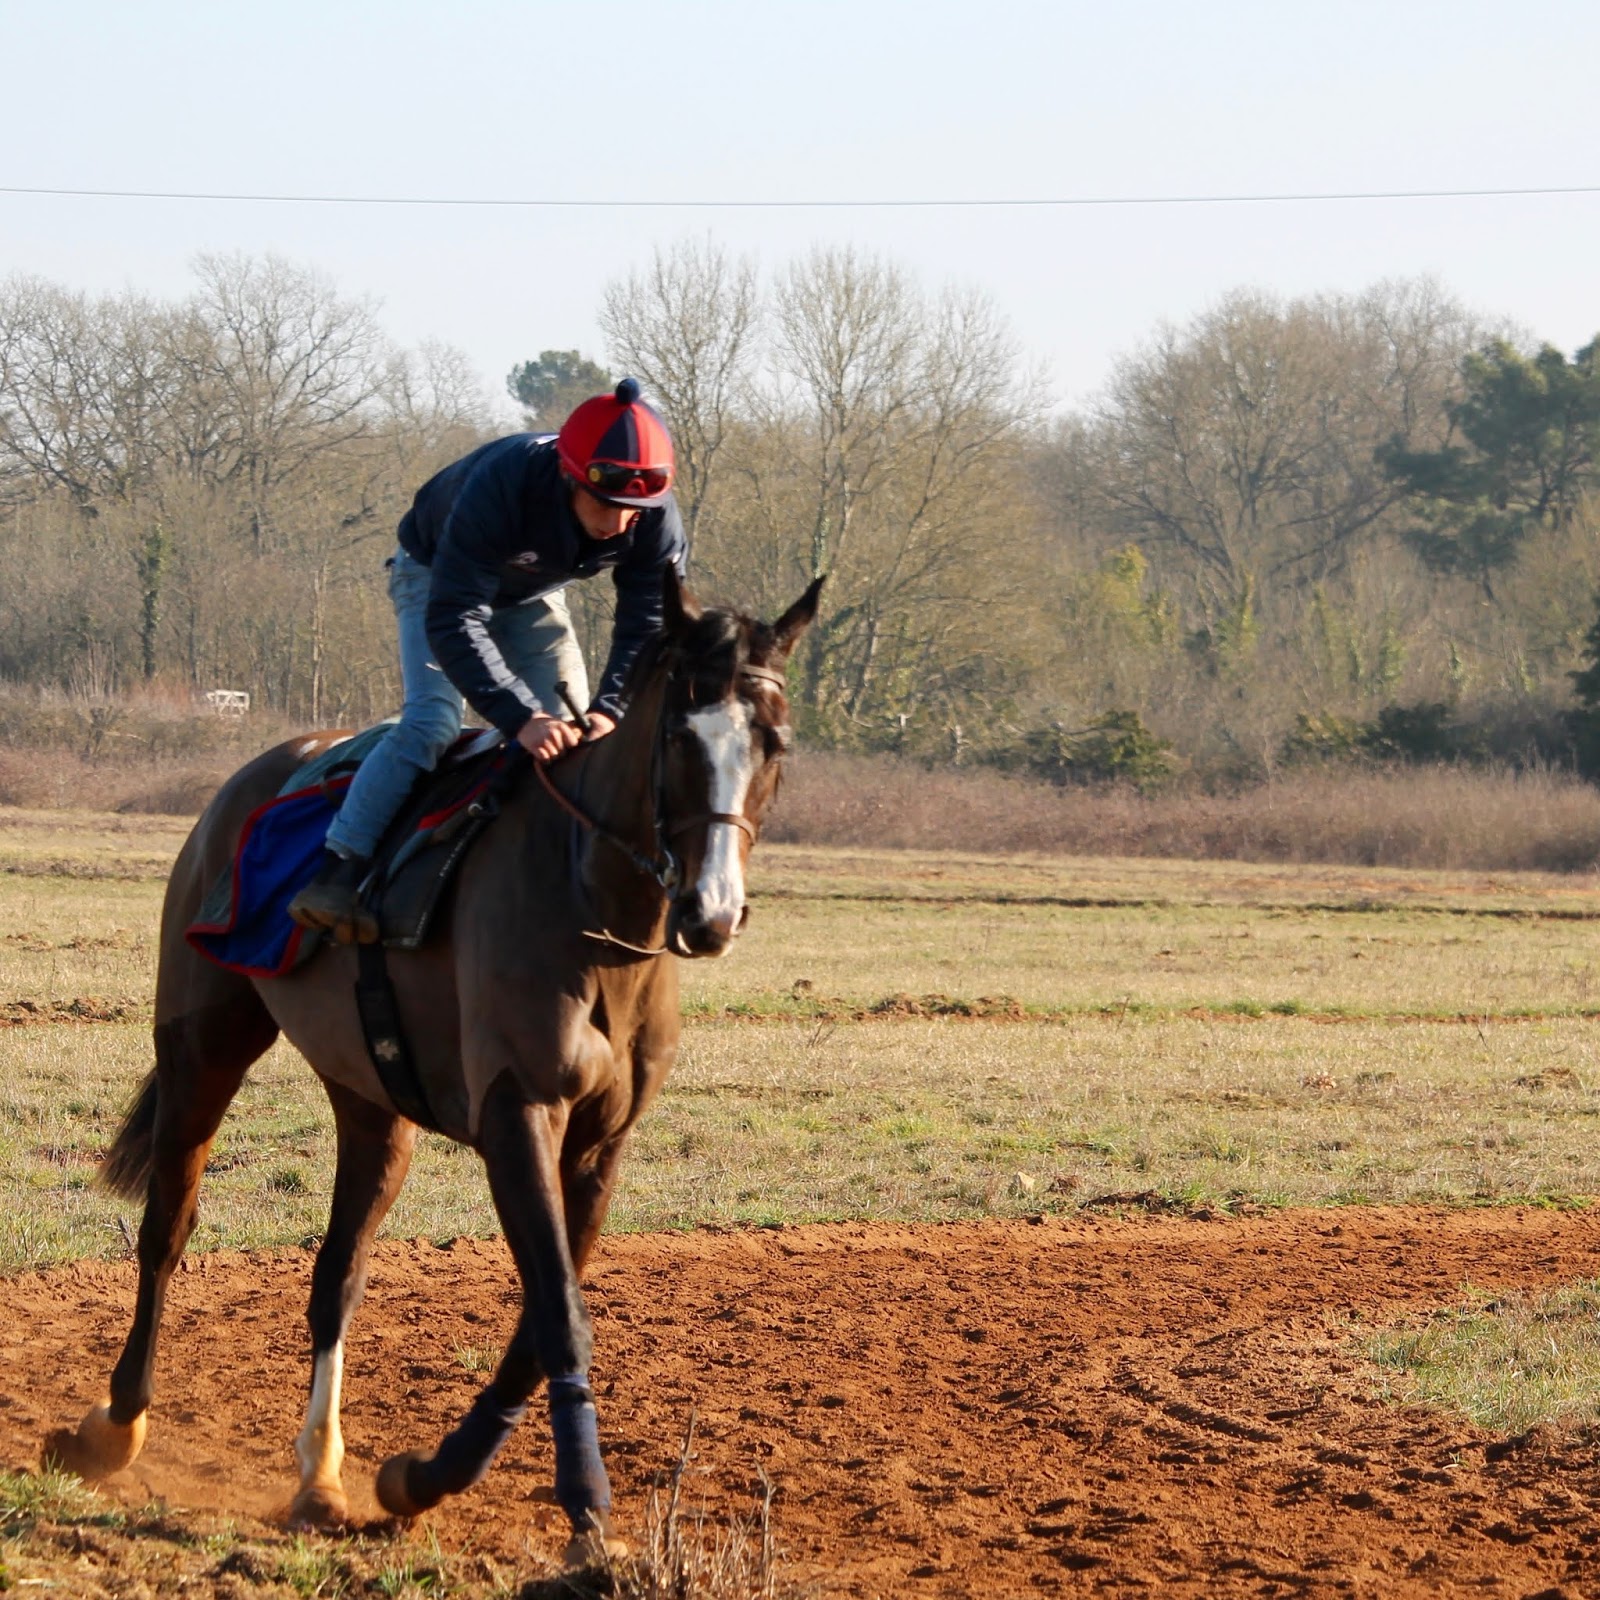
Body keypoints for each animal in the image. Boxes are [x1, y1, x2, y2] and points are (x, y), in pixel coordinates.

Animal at [43, 572, 822, 1565]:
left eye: (773, 743)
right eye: (683, 736)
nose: (712, 911)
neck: (592, 906)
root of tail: (259, 773)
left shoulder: (599, 1144)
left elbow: (539, 1321)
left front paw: (423, 1477)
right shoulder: (517, 1112)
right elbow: (559, 1312)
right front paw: (583, 1510)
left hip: (371, 1103)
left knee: (338, 1273)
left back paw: (320, 1476)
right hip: (201, 1046)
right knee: (165, 1233)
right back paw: (116, 1426)